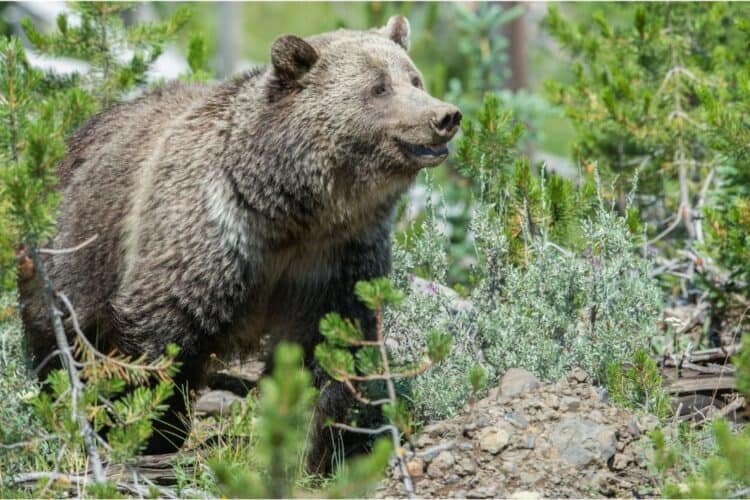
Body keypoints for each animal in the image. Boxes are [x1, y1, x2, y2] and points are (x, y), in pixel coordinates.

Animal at [18, 15, 461, 471]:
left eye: (414, 78)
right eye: (379, 87)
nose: (445, 115)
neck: (293, 212)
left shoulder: (336, 257)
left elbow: (322, 348)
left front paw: (305, 450)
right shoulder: (214, 236)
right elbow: (164, 337)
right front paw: (151, 434)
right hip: (76, 245)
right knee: (62, 336)